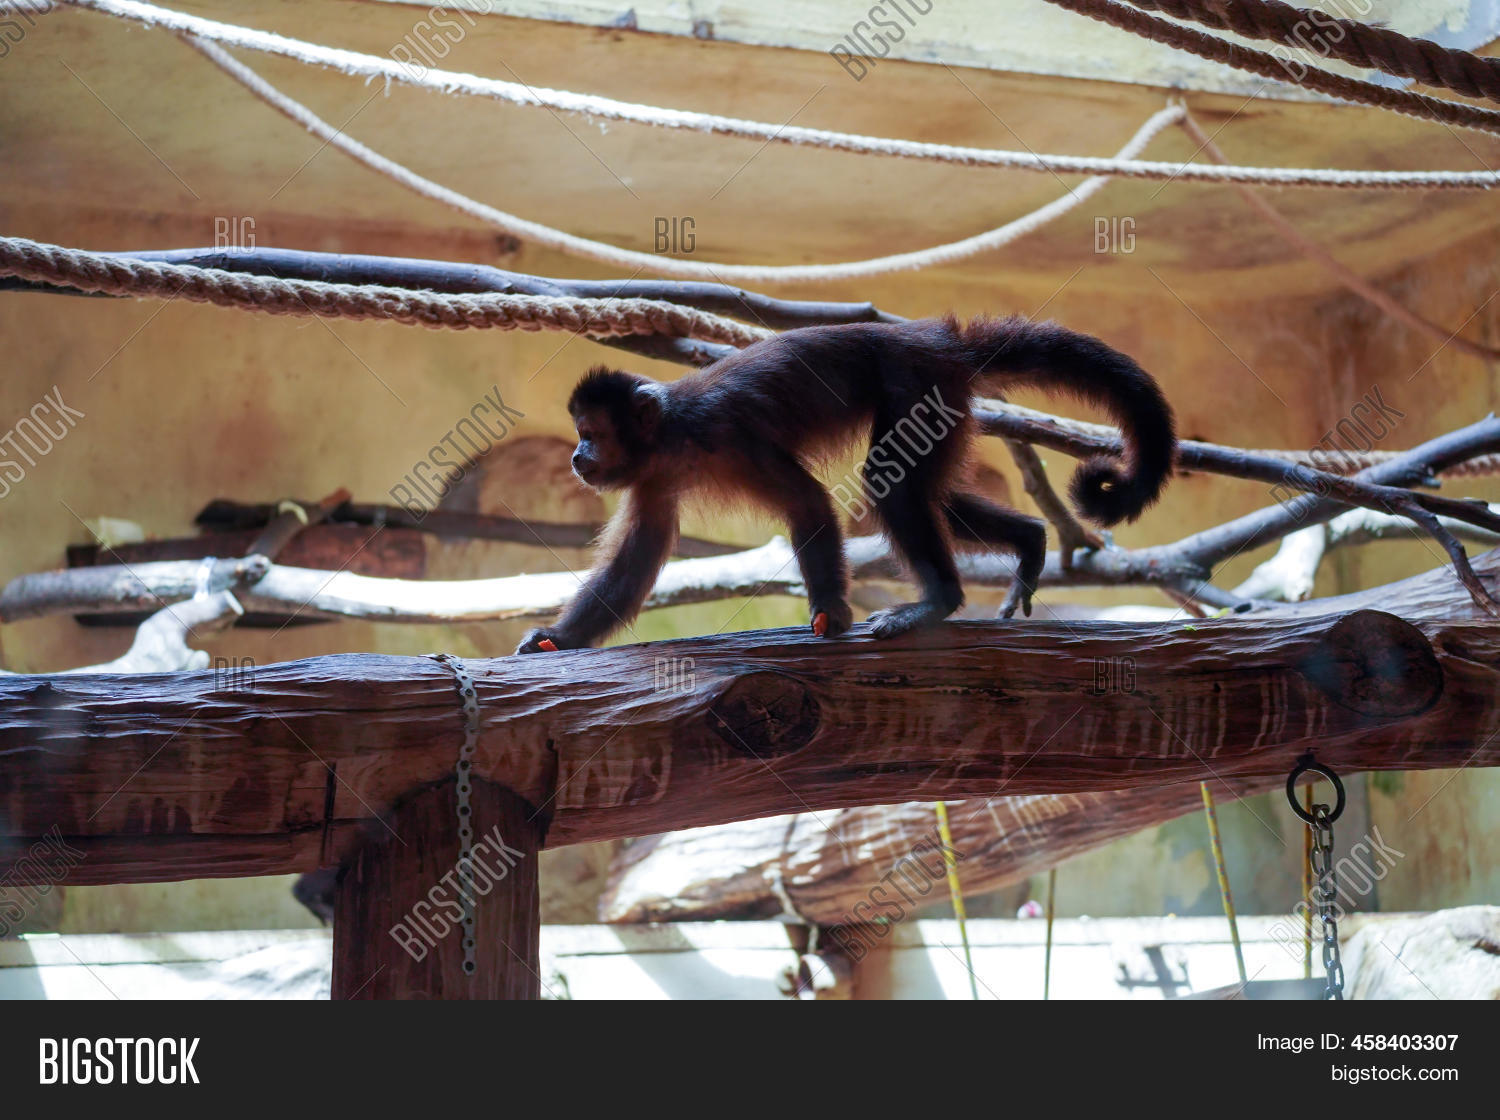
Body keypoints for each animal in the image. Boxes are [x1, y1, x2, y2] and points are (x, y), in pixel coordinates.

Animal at [516, 314, 1175, 654]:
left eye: (591, 434)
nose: (576, 456)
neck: (672, 436)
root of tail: (933, 337)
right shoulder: (652, 477)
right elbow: (637, 555)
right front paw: (561, 639)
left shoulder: (726, 436)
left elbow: (808, 501)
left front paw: (830, 613)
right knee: (930, 493)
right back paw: (1030, 541)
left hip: (916, 384)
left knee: (889, 479)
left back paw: (938, 602)